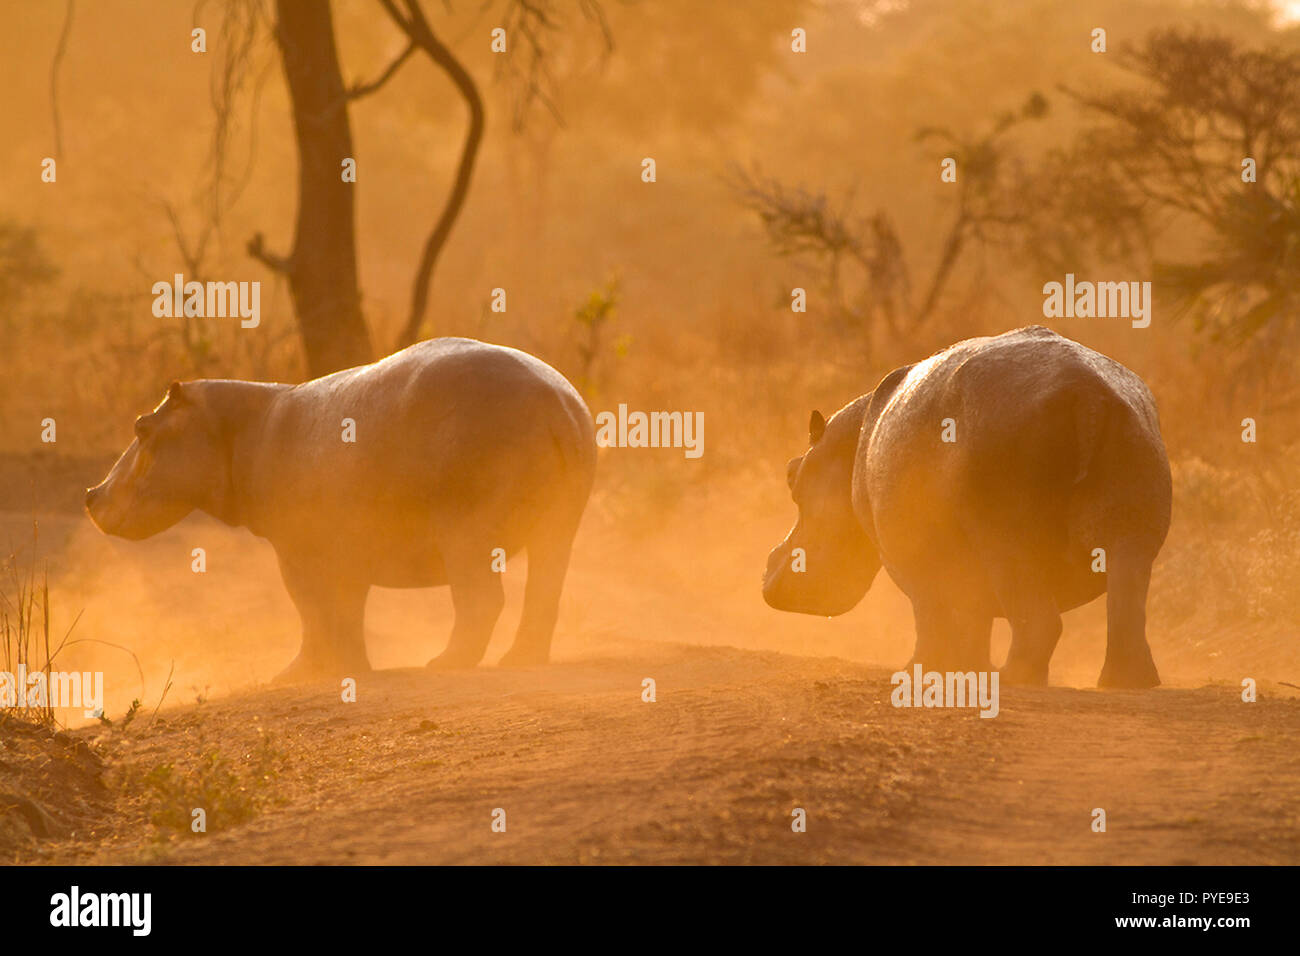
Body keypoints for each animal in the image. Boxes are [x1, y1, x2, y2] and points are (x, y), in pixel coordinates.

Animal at [86, 338, 597, 680]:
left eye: (141, 426)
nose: (91, 493)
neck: (236, 426)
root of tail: (555, 401)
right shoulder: (346, 549)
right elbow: (346, 609)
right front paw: (351, 669)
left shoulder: (296, 549)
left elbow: (311, 609)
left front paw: (292, 676)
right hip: (558, 527)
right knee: (545, 592)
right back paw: (520, 659)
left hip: (466, 532)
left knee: (482, 600)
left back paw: (442, 663)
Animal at [763, 326, 1171, 688]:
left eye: (791, 474)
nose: (769, 565)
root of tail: (1087, 395)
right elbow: (975, 615)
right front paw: (970, 669)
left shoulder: (907, 556)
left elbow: (930, 613)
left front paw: (920, 669)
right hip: (1133, 527)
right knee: (1126, 604)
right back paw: (1128, 682)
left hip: (1008, 538)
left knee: (1040, 619)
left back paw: (1014, 678)